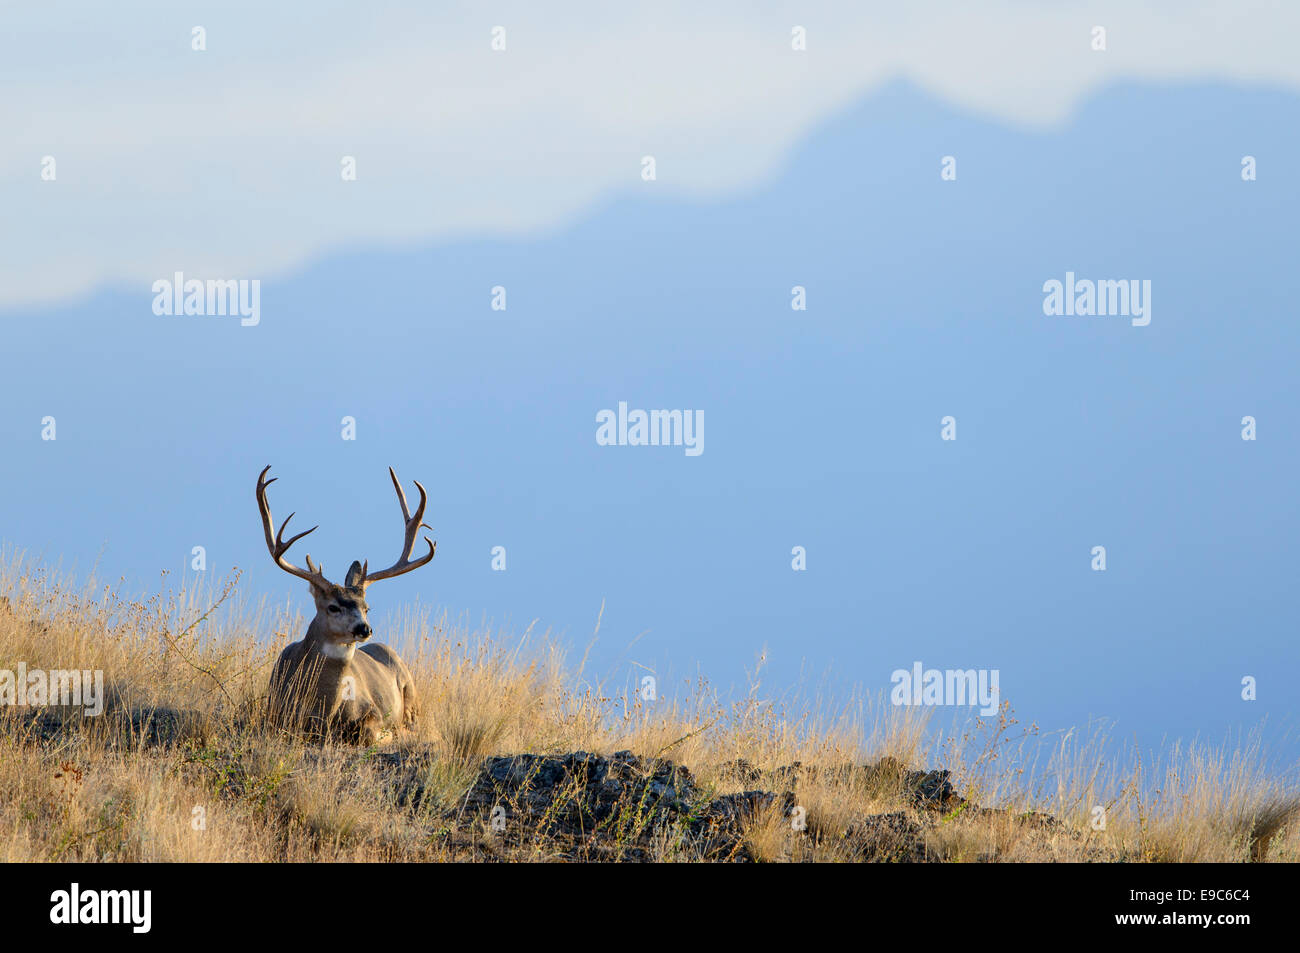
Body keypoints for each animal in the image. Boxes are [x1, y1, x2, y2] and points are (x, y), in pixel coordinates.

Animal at [257, 465, 434, 744]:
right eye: (332, 607)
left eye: (367, 607)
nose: (364, 628)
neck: (321, 712)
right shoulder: (274, 713)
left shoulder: (372, 710)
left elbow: (369, 733)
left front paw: (388, 735)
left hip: (410, 690)